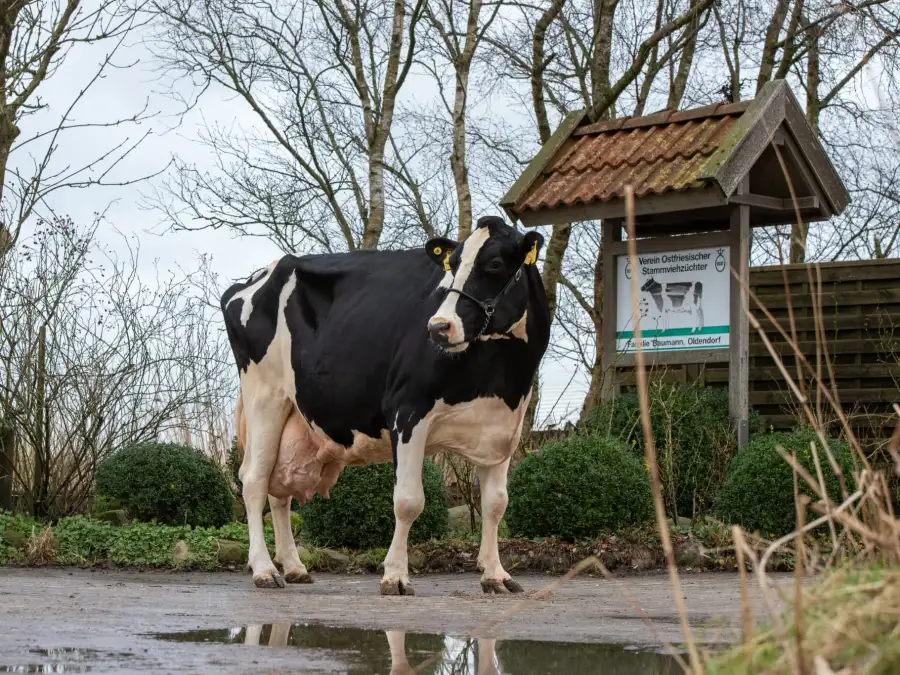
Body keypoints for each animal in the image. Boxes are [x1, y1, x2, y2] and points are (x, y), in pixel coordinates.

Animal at [222, 215, 550, 595]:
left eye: (495, 264)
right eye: (452, 265)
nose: (438, 327)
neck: (501, 373)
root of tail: (258, 275)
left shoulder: (503, 427)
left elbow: (496, 504)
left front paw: (496, 575)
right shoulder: (407, 410)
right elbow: (408, 501)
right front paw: (395, 575)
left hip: (294, 416)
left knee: (279, 491)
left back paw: (294, 567)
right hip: (264, 394)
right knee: (254, 480)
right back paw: (263, 570)